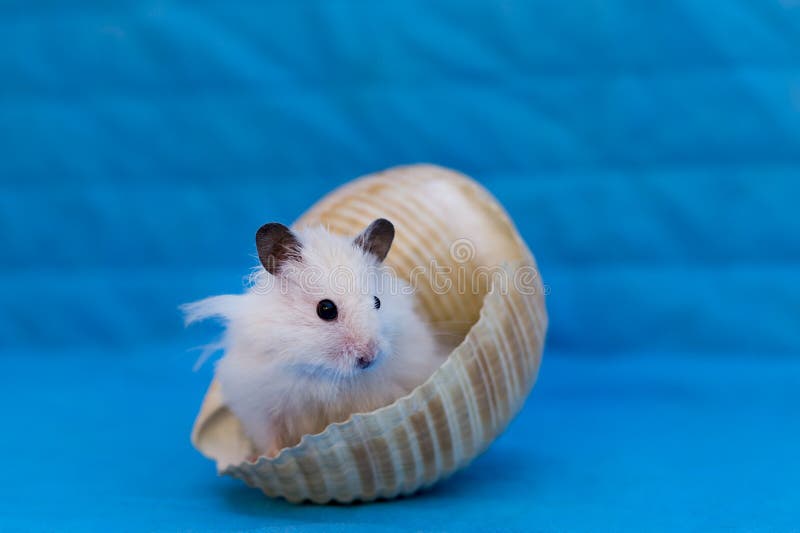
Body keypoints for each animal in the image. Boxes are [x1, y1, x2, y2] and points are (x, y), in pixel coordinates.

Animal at [183, 219, 445, 458]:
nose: (370, 357)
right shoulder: (261, 408)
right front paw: (272, 458)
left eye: (377, 301)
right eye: (326, 309)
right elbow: (272, 438)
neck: (326, 372)